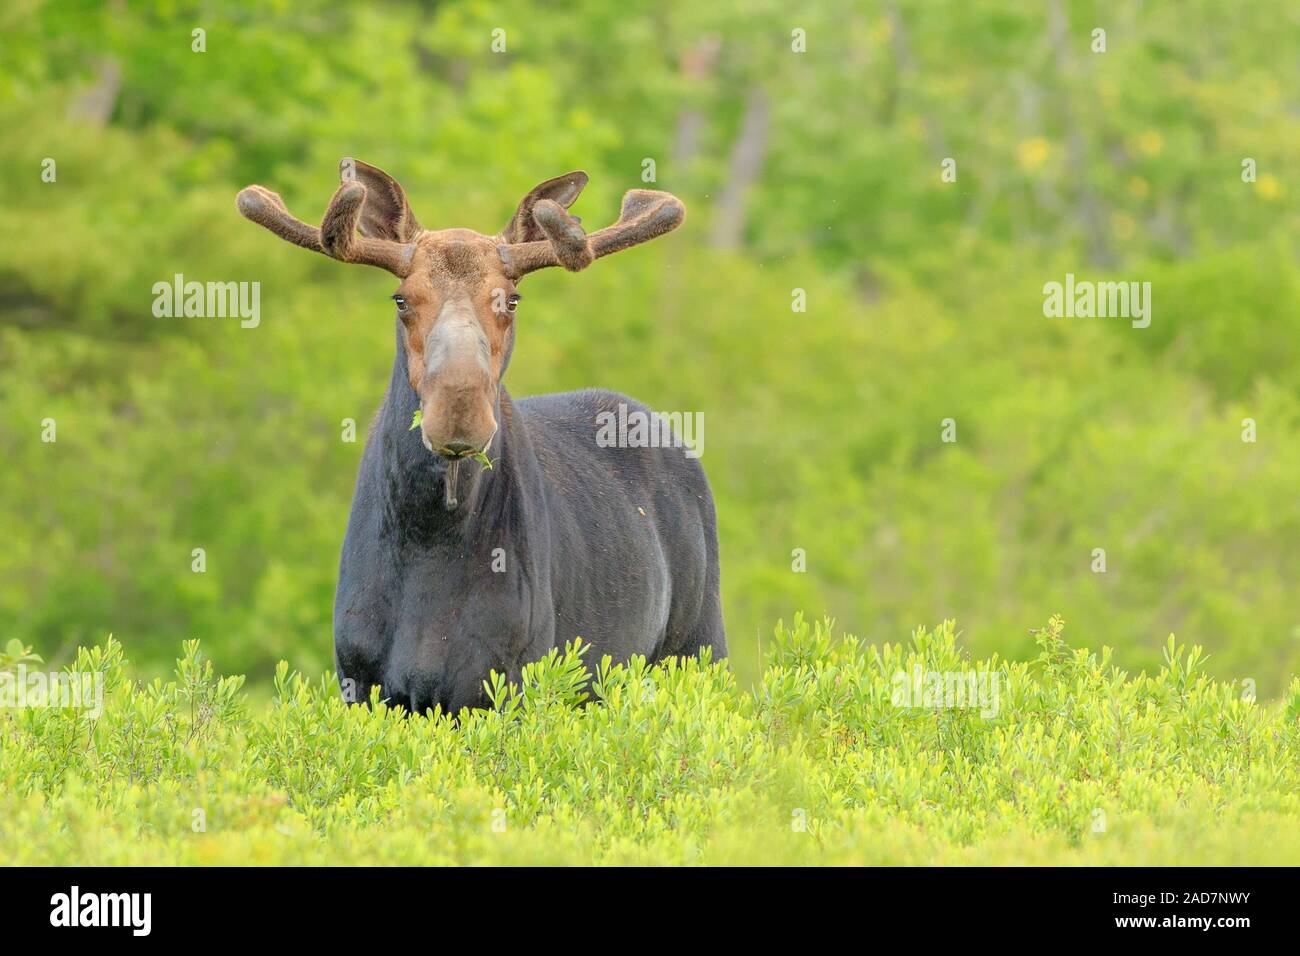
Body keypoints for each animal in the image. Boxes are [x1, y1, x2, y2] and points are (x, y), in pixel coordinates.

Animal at [236, 159, 726, 715]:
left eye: (511, 300)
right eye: (401, 299)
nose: (459, 412)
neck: (430, 540)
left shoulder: (504, 683)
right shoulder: (360, 681)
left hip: (700, 645)